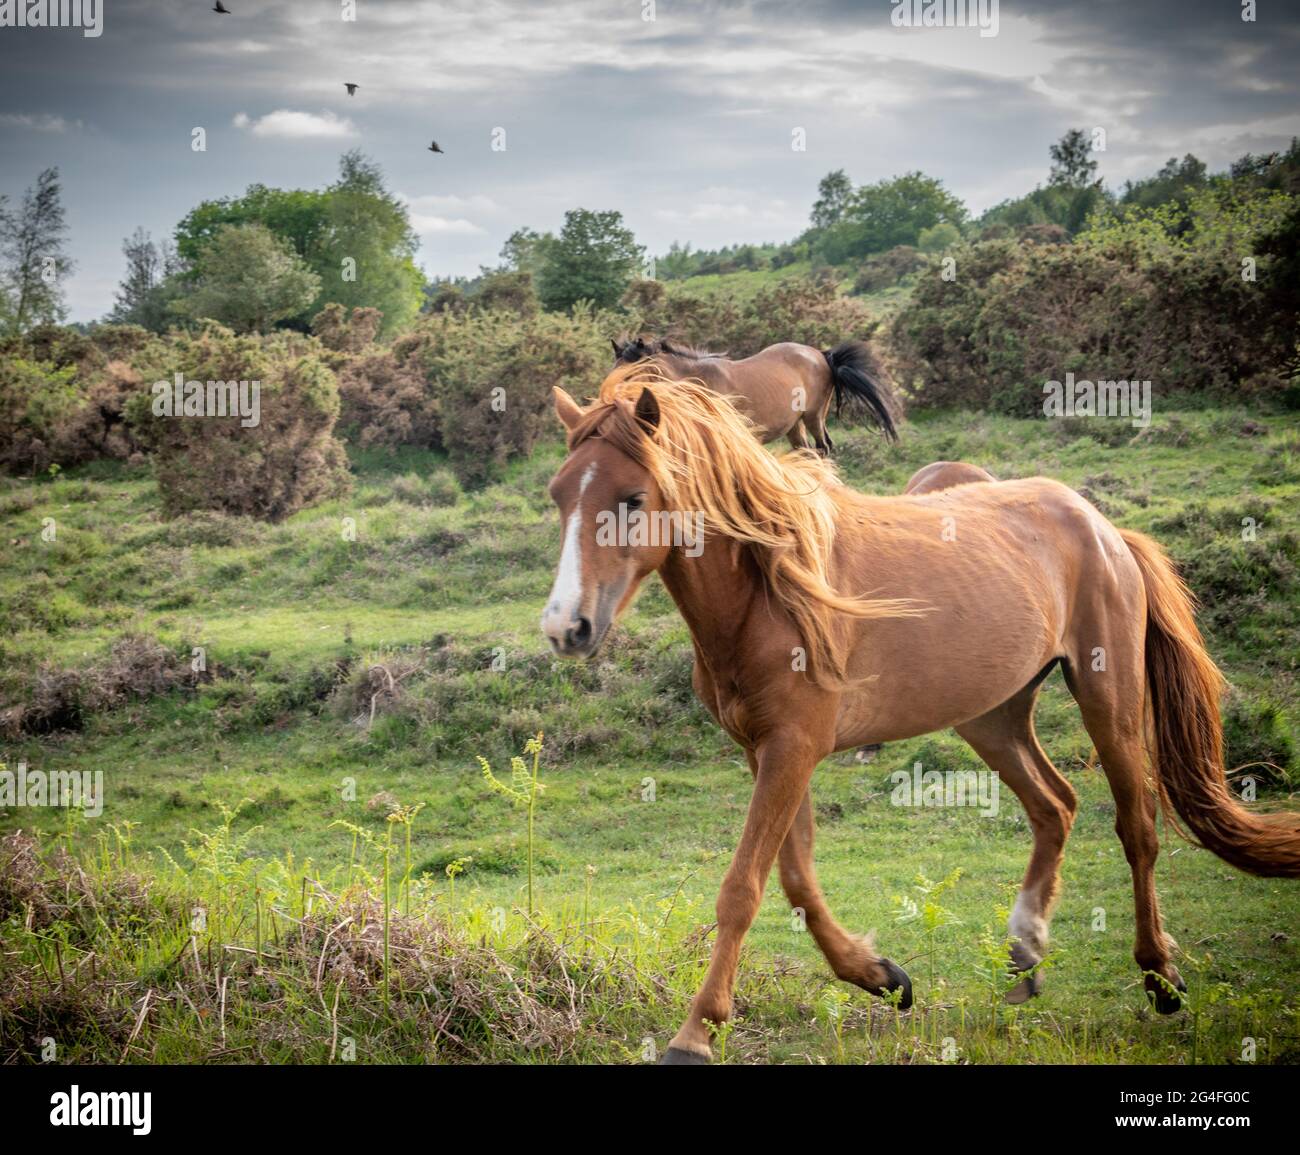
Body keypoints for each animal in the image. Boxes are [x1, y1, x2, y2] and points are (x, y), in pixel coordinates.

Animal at [541, 364, 1300, 1064]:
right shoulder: (772, 751)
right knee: (1055, 805)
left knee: (1136, 825)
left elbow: (744, 887)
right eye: (559, 497)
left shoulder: (793, 747)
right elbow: (796, 879)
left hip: (1105, 698)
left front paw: (695, 1034)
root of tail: (1105, 527)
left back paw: (1159, 975)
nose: (565, 628)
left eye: (634, 499)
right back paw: (1025, 953)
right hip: (992, 716)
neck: (768, 591)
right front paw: (878, 974)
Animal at [610, 335, 898, 456]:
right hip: (794, 426)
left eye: (630, 373)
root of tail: (821, 355)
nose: (608, 399)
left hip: (814, 417)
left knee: (824, 449)